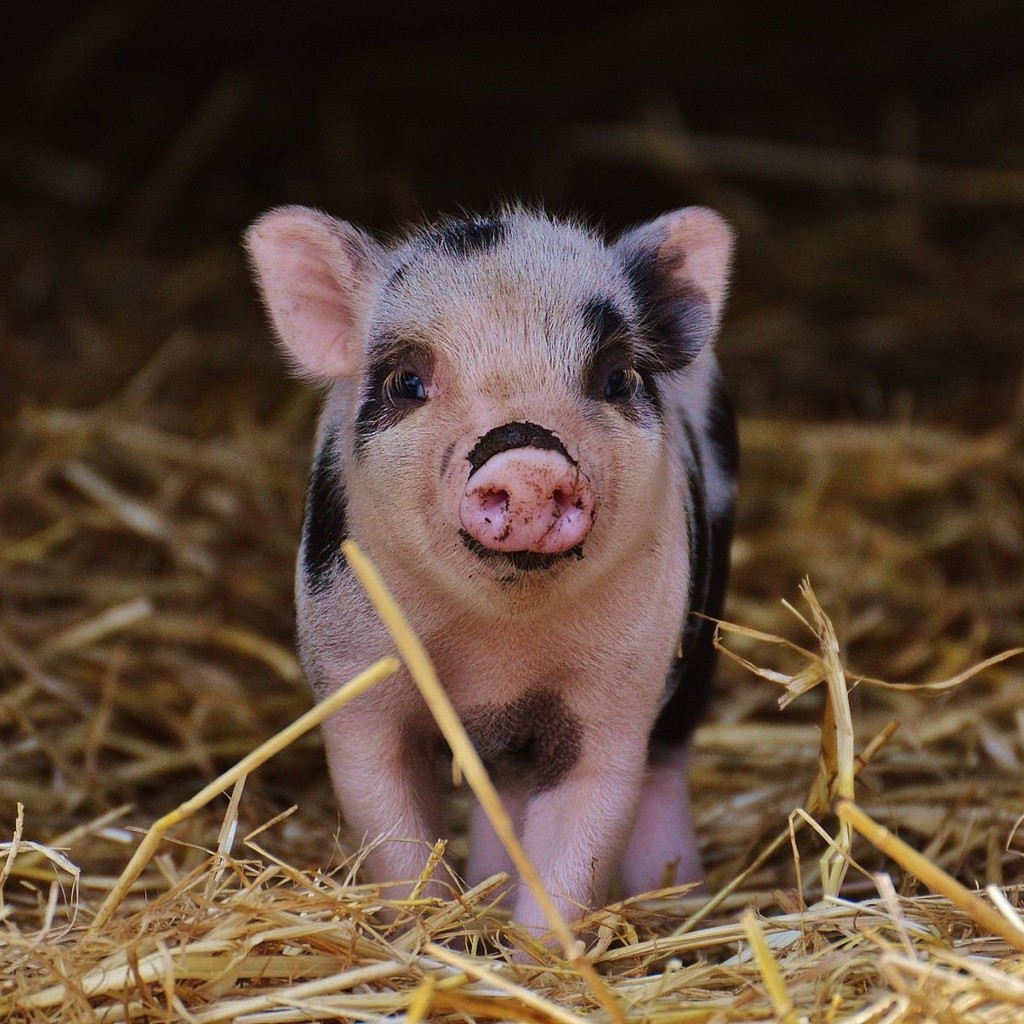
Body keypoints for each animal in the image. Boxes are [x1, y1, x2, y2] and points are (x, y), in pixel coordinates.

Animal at [244, 204, 737, 939]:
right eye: (407, 382)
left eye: (617, 378)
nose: (527, 458)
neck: (497, 653)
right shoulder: (354, 680)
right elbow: (392, 833)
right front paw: (429, 936)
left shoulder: (616, 696)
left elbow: (580, 840)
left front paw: (537, 955)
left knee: (666, 764)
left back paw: (676, 898)